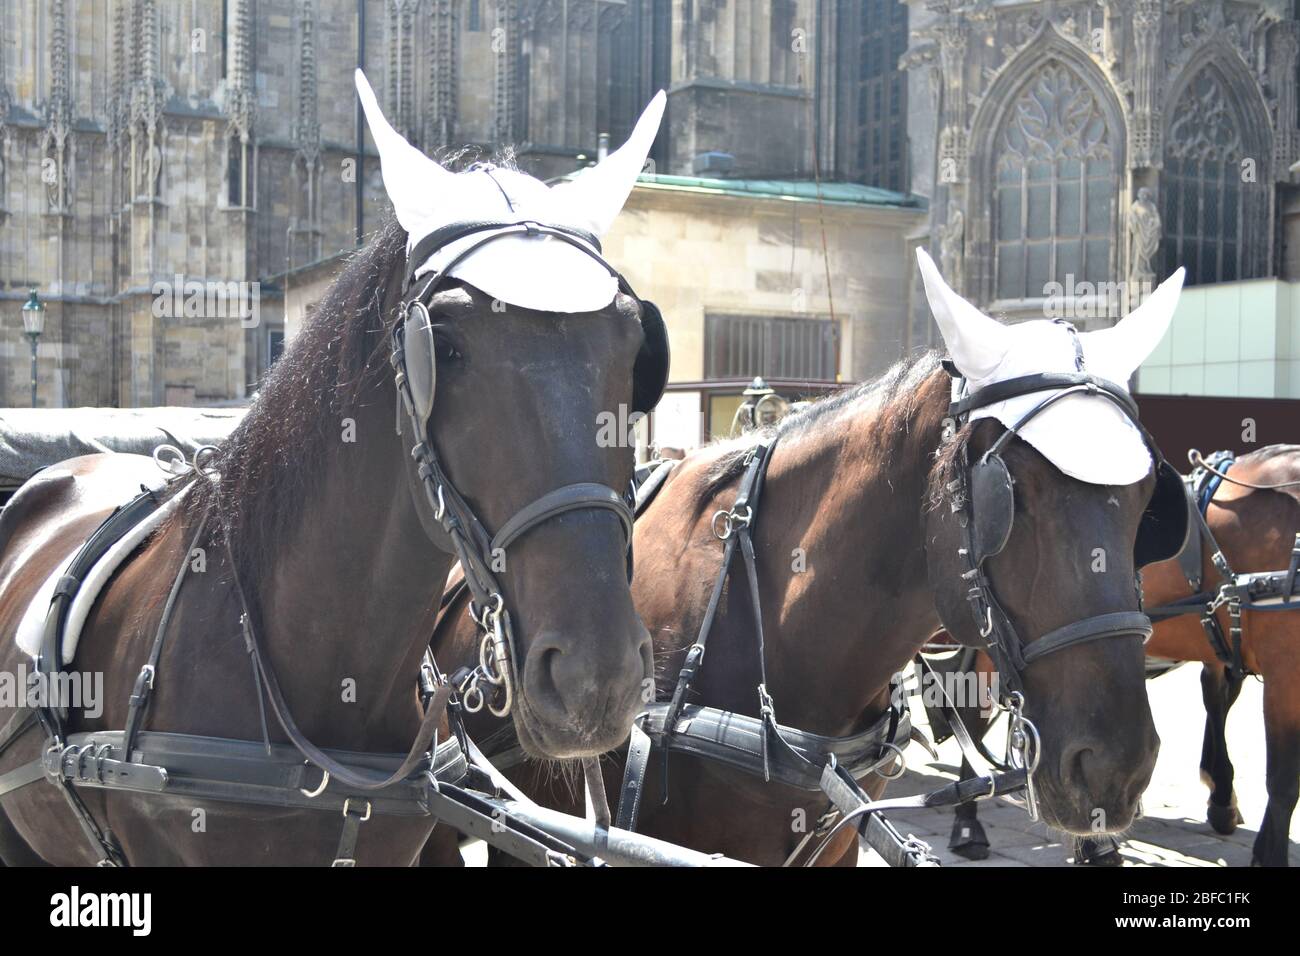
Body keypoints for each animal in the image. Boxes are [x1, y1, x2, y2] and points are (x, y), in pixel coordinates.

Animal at [936, 445, 1300, 867]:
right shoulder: (1285, 670)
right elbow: (1284, 778)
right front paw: (1268, 851)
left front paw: (1223, 801)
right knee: (977, 718)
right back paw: (969, 824)